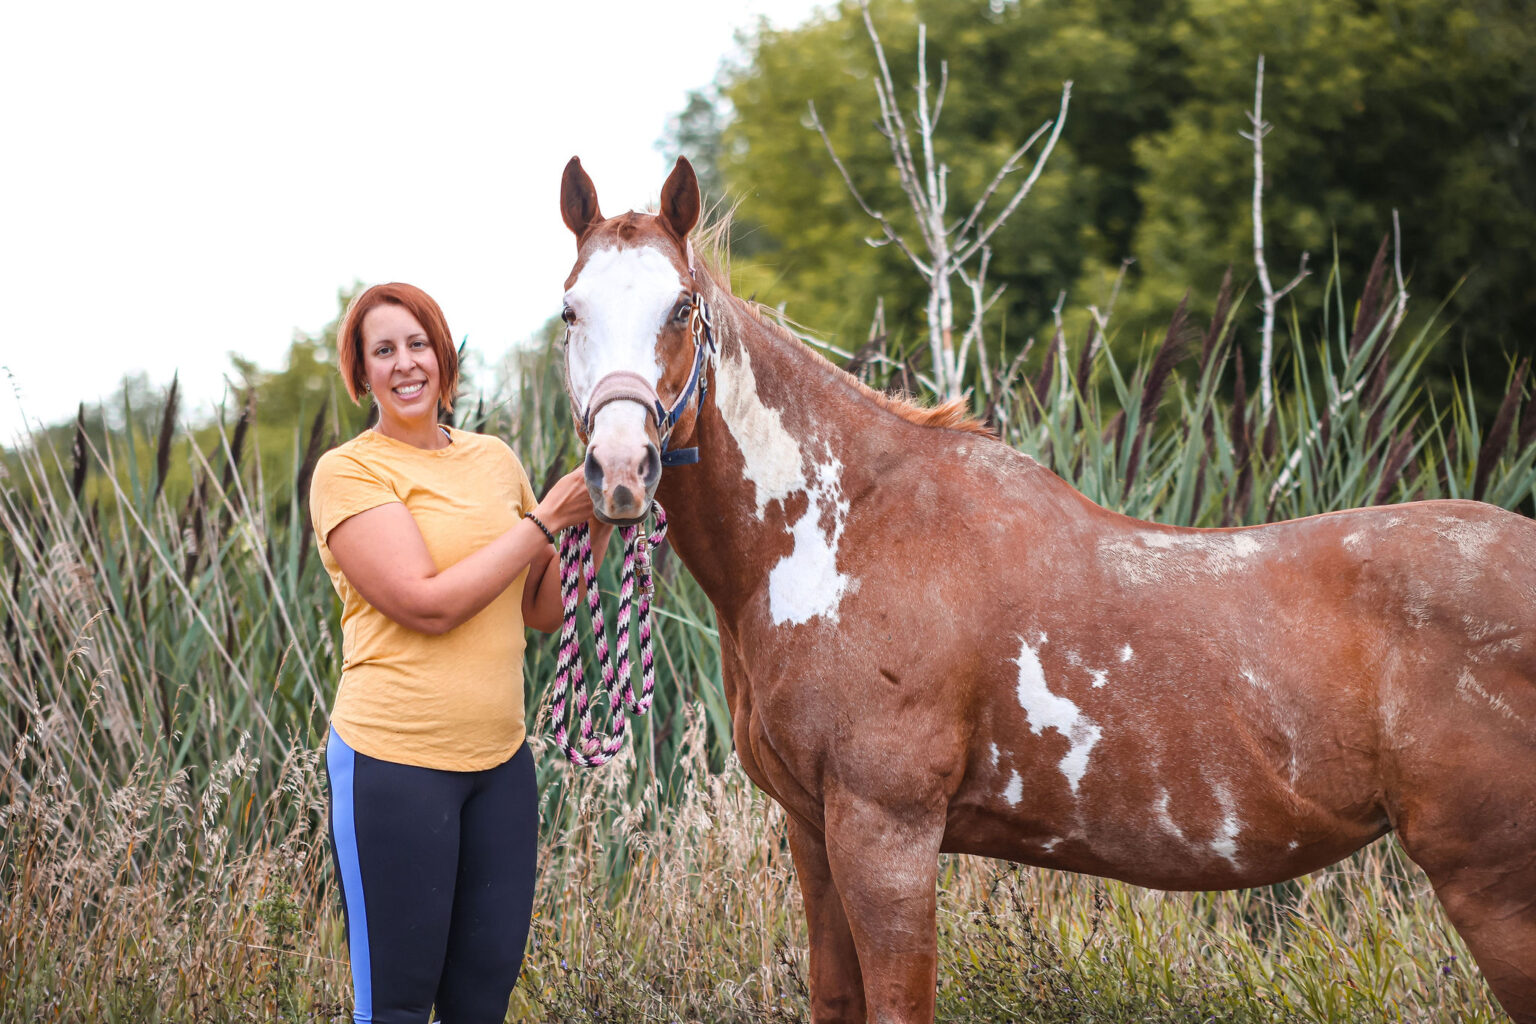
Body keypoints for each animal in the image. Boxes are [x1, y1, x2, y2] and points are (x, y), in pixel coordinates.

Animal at [555, 154, 1536, 1024]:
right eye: (569, 309)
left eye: (681, 306)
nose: (619, 471)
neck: (841, 533)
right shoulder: (814, 829)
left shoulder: (887, 832)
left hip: (1494, 889)